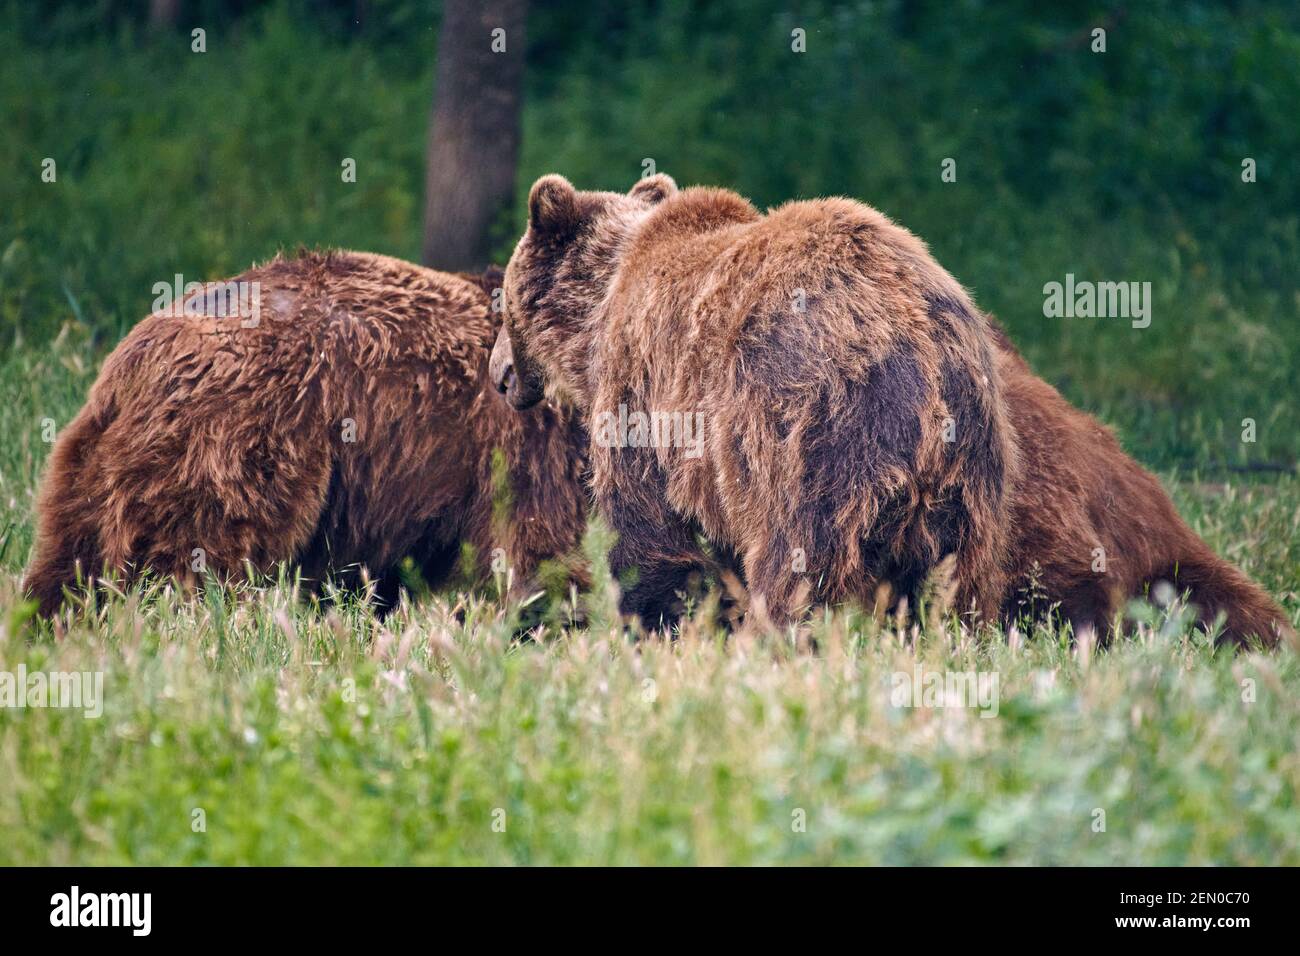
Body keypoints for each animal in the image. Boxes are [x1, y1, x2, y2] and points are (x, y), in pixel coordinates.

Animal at [24, 249, 590, 617]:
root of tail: (134, 359)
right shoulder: (525, 449)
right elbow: (543, 552)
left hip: (93, 466)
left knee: (71, 562)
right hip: (243, 439)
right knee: (193, 561)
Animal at [491, 173, 1018, 630]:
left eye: (504, 302)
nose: (499, 375)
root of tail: (919, 346)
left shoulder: (641, 390)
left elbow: (644, 529)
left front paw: (647, 621)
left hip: (813, 431)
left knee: (799, 559)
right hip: (969, 465)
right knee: (954, 580)